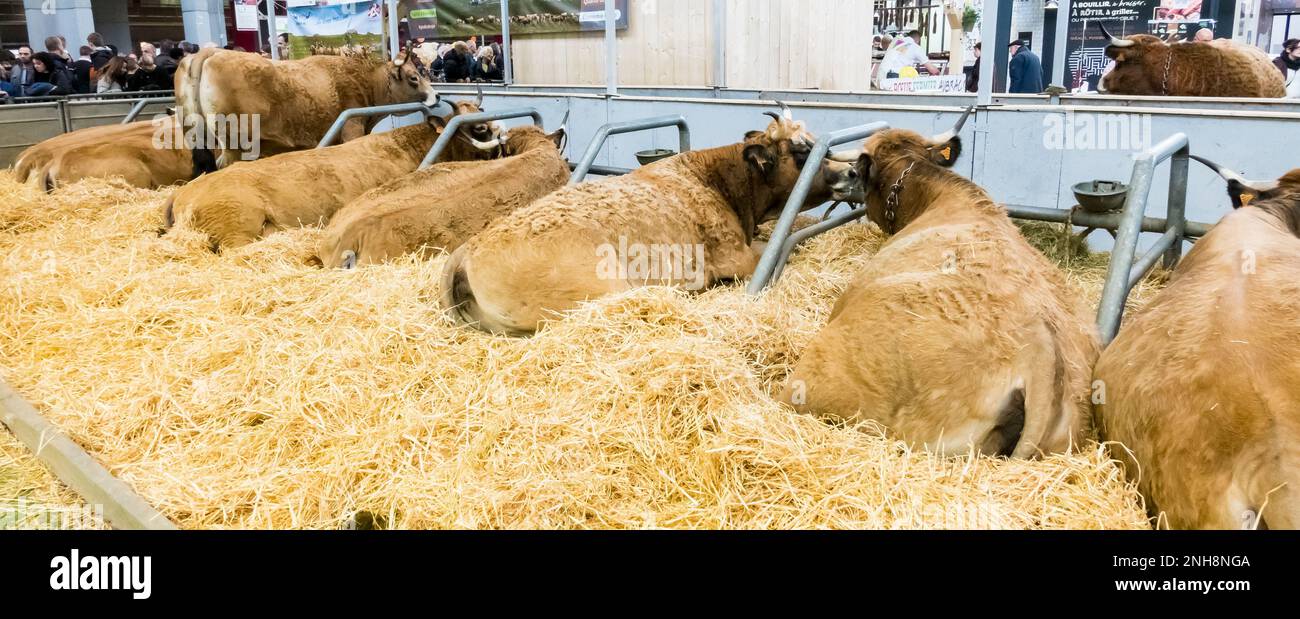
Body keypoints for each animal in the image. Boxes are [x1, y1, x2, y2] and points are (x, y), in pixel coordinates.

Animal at [439, 104, 853, 336]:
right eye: (801, 151)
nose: (850, 173)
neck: (719, 182)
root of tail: (466, 255)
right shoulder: (737, 257)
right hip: (608, 289)